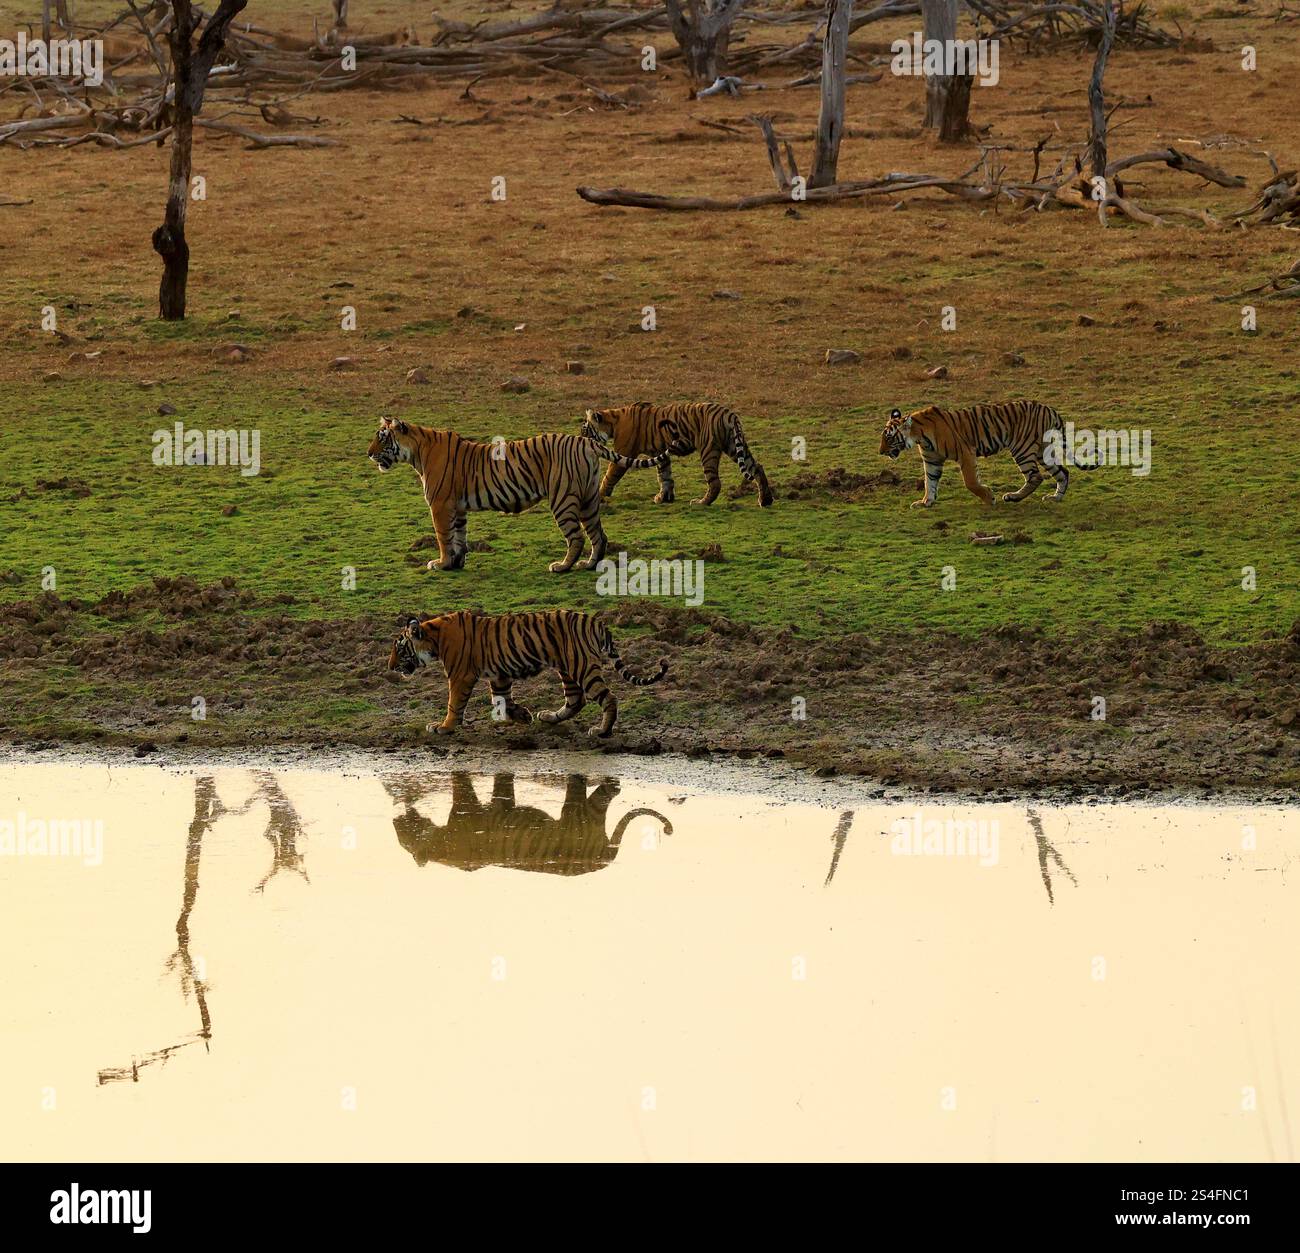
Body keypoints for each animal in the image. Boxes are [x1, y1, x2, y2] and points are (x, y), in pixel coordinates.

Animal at [367, 417, 667, 573]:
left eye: (382, 438)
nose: (369, 454)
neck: (416, 451)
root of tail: (585, 440)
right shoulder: (458, 507)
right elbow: (459, 536)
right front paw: (455, 563)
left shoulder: (440, 505)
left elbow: (443, 536)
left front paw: (440, 563)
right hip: (588, 499)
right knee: (599, 535)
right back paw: (589, 564)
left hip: (563, 499)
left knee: (577, 537)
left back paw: (562, 566)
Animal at [387, 608, 668, 737]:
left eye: (400, 649)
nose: (390, 667)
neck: (434, 638)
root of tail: (595, 620)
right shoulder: (499, 674)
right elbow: (502, 698)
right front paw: (522, 715)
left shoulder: (460, 676)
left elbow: (454, 704)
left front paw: (443, 727)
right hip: (568, 668)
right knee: (576, 700)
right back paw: (549, 717)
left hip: (582, 666)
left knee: (608, 697)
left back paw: (602, 731)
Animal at [580, 401, 775, 508]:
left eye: (585, 430)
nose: (580, 439)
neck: (613, 422)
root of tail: (729, 414)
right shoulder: (660, 453)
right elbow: (664, 476)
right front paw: (664, 497)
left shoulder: (623, 452)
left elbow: (610, 475)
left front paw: (600, 495)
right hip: (733, 446)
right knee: (757, 467)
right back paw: (765, 500)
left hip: (709, 450)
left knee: (715, 482)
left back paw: (701, 503)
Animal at [878, 401, 1097, 508]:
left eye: (888, 438)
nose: (880, 452)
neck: (918, 435)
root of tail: (1049, 409)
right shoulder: (932, 460)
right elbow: (929, 482)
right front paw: (925, 502)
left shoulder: (965, 453)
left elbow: (970, 482)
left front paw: (989, 498)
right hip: (1043, 451)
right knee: (1062, 472)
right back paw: (1055, 498)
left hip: (1022, 449)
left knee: (1035, 477)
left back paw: (1013, 497)